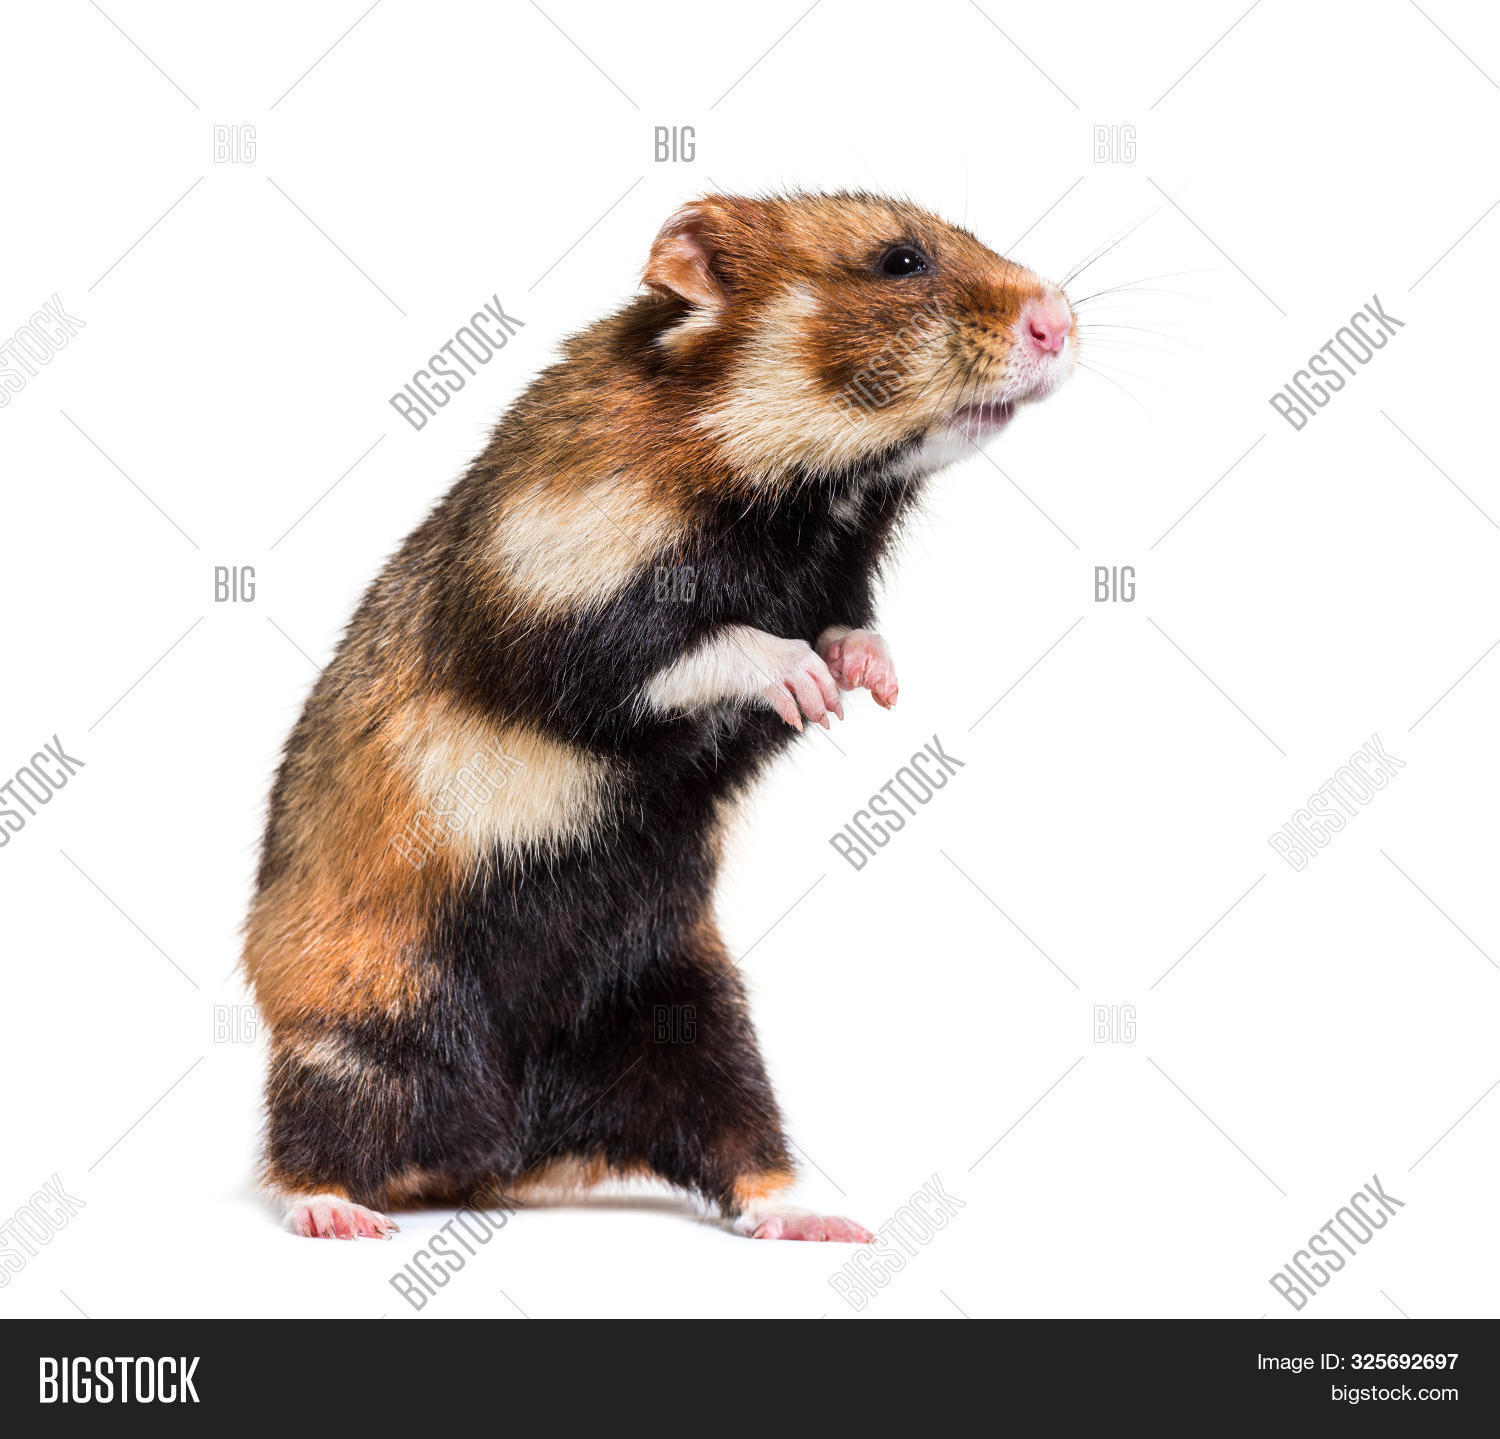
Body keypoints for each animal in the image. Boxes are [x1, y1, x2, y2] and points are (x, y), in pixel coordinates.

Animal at [244, 191, 1076, 1242]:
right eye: (900, 260)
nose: (1062, 322)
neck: (820, 501)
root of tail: (504, 1155)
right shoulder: (552, 594)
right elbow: (695, 646)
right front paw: (808, 682)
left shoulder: (834, 581)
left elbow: (851, 627)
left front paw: (871, 681)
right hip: (362, 1023)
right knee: (311, 1142)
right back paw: (339, 1213)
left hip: (695, 1016)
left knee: (737, 1145)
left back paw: (815, 1218)